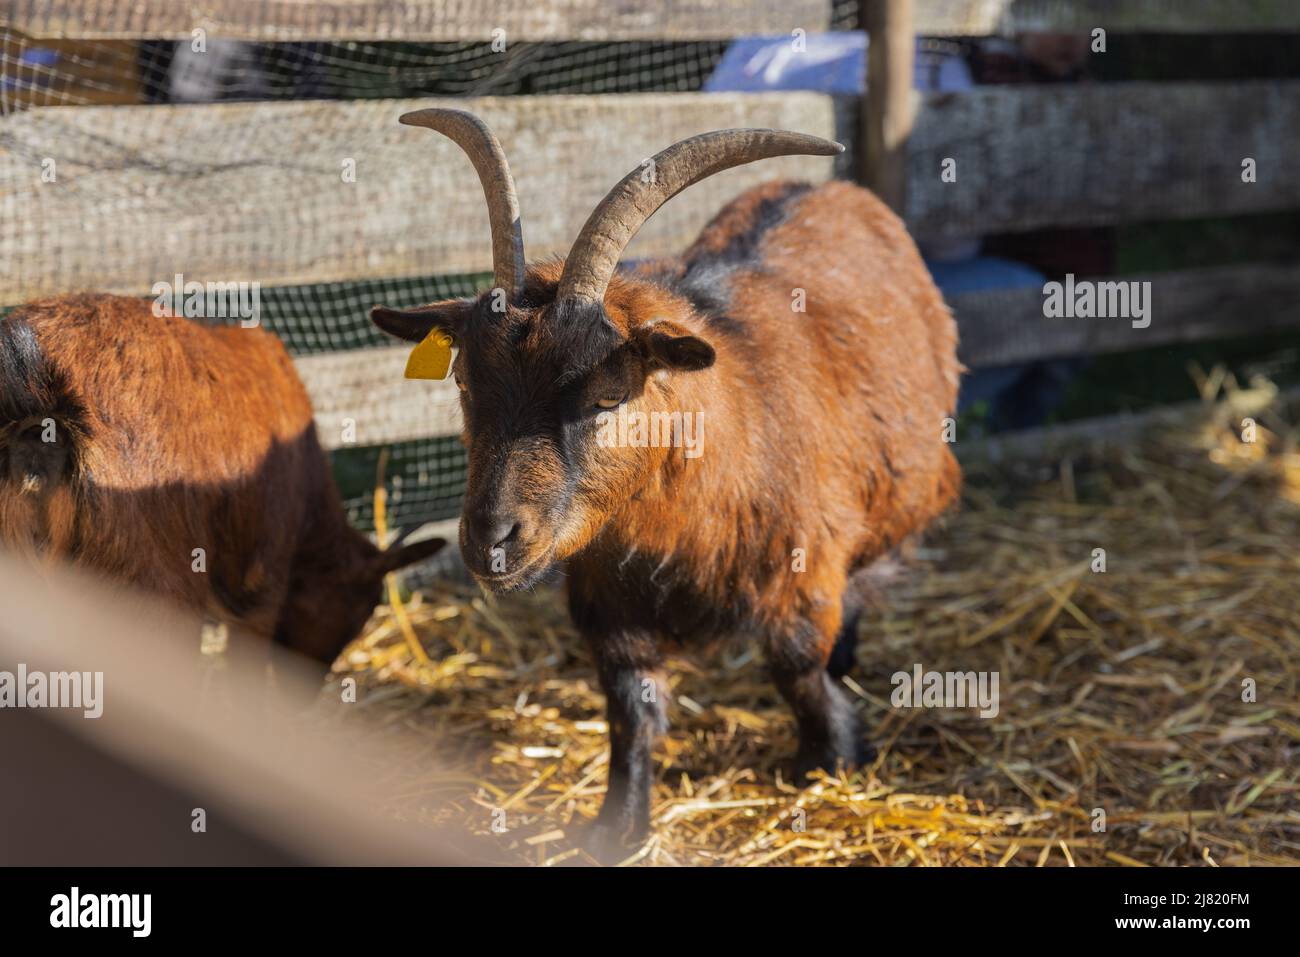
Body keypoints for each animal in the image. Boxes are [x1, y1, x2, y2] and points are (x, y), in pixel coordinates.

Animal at [370, 110, 961, 857]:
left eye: (608, 395)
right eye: (466, 384)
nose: (492, 539)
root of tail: (832, 188)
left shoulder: (803, 569)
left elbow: (796, 665)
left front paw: (829, 759)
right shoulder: (608, 600)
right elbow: (631, 707)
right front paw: (616, 827)